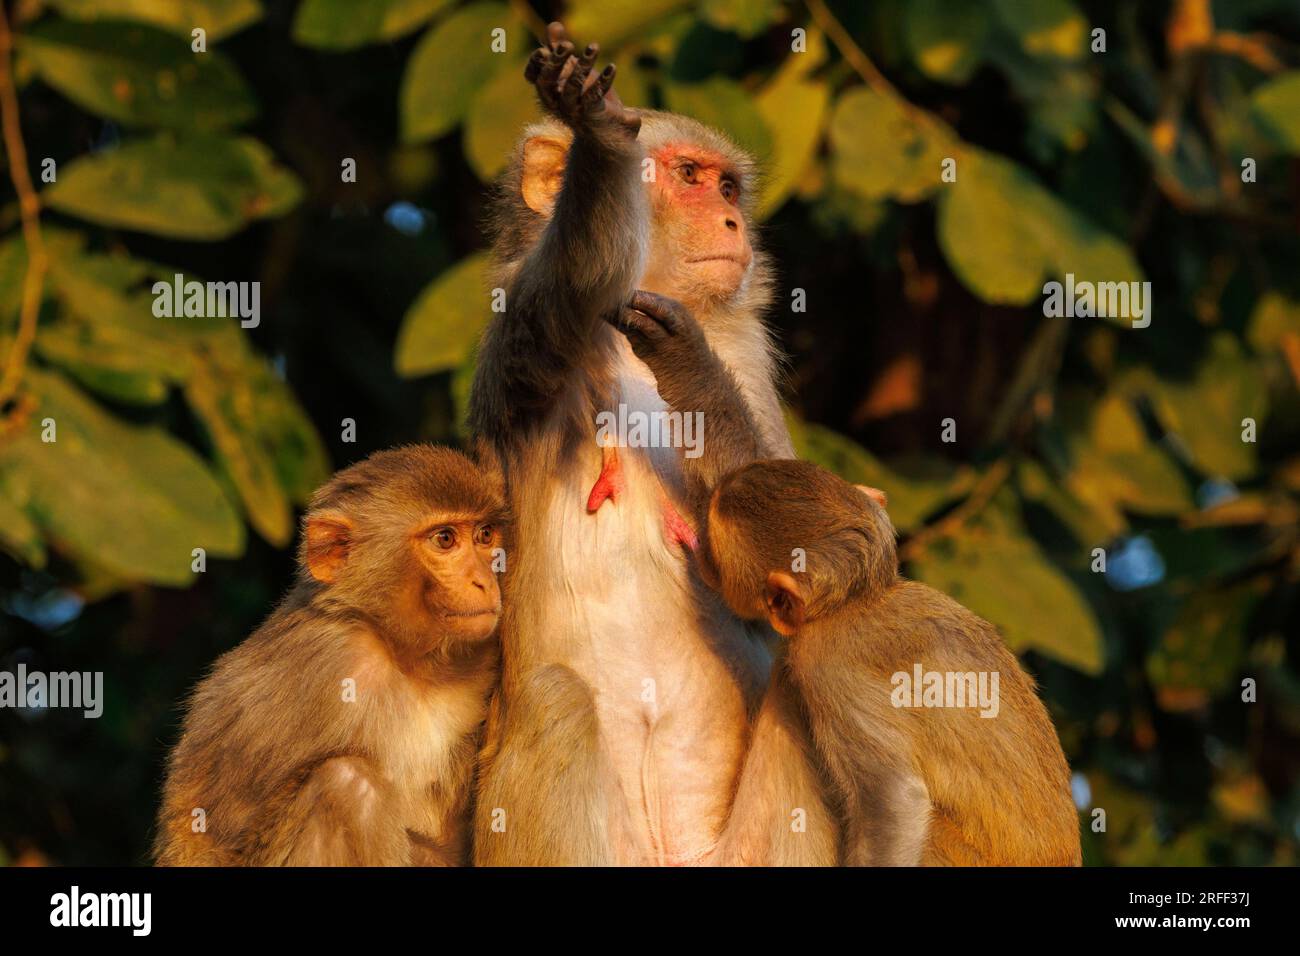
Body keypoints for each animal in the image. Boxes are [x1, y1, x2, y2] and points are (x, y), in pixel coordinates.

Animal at [154, 445, 507, 866]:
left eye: (484, 535)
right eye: (445, 539)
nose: (483, 581)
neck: (404, 658)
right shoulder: (325, 662)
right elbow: (208, 832)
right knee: (347, 785)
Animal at [468, 21, 839, 865]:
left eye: (728, 188)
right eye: (691, 177)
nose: (733, 225)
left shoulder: (746, 353)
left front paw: (692, 372)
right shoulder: (526, 322)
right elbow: (579, 279)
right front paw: (600, 134)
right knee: (557, 701)